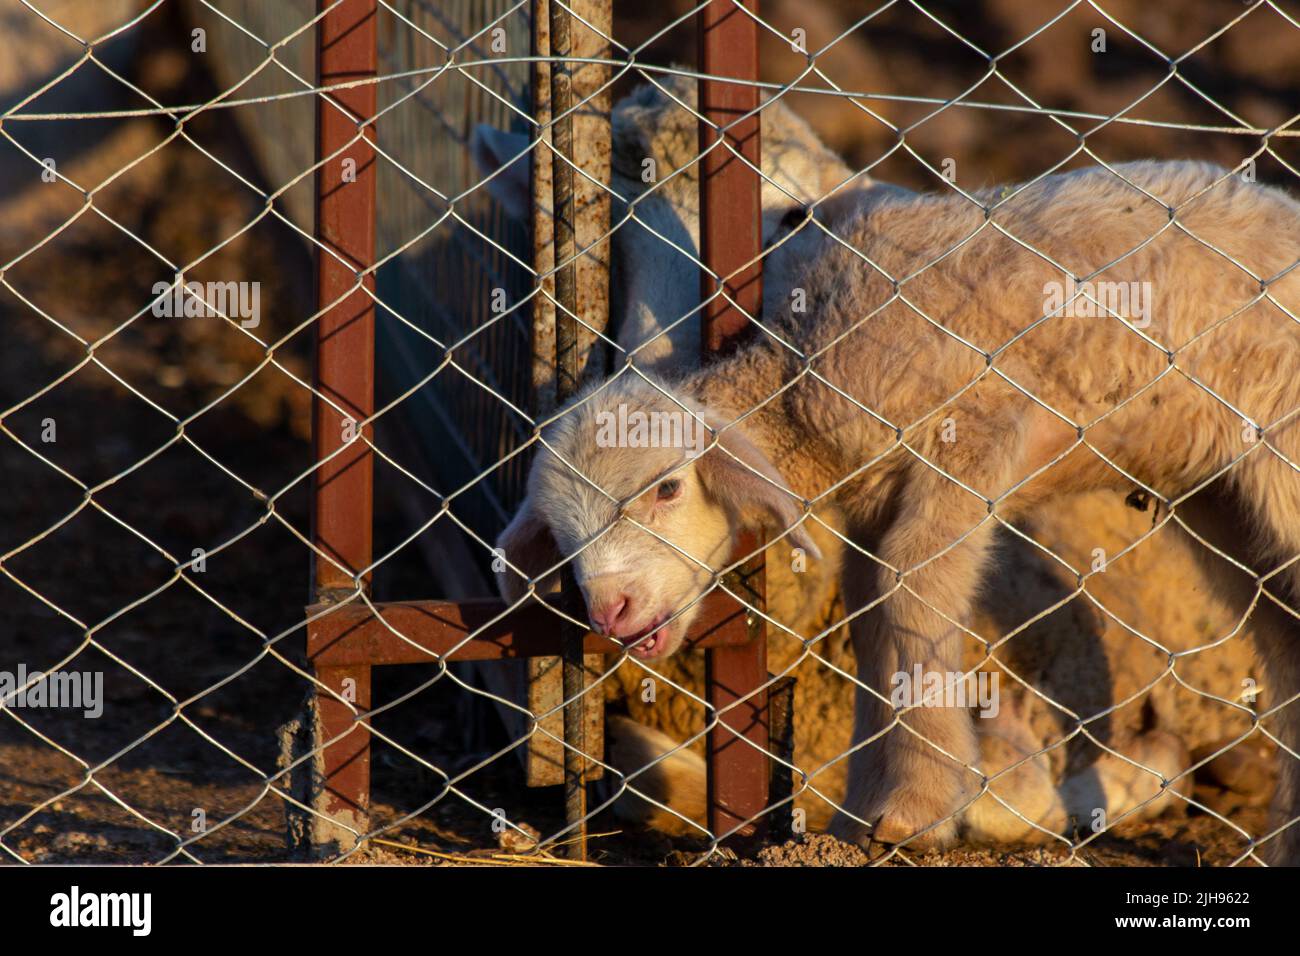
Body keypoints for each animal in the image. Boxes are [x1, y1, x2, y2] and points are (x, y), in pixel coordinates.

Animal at [495, 158, 1300, 862]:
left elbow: (910, 582)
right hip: (1220, 495)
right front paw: (860, 814)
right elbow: (870, 617)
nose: (611, 612)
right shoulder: (876, 496)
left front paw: (917, 810)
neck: (802, 389)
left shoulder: (974, 433)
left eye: (667, 488)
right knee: (1282, 637)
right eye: (561, 535)